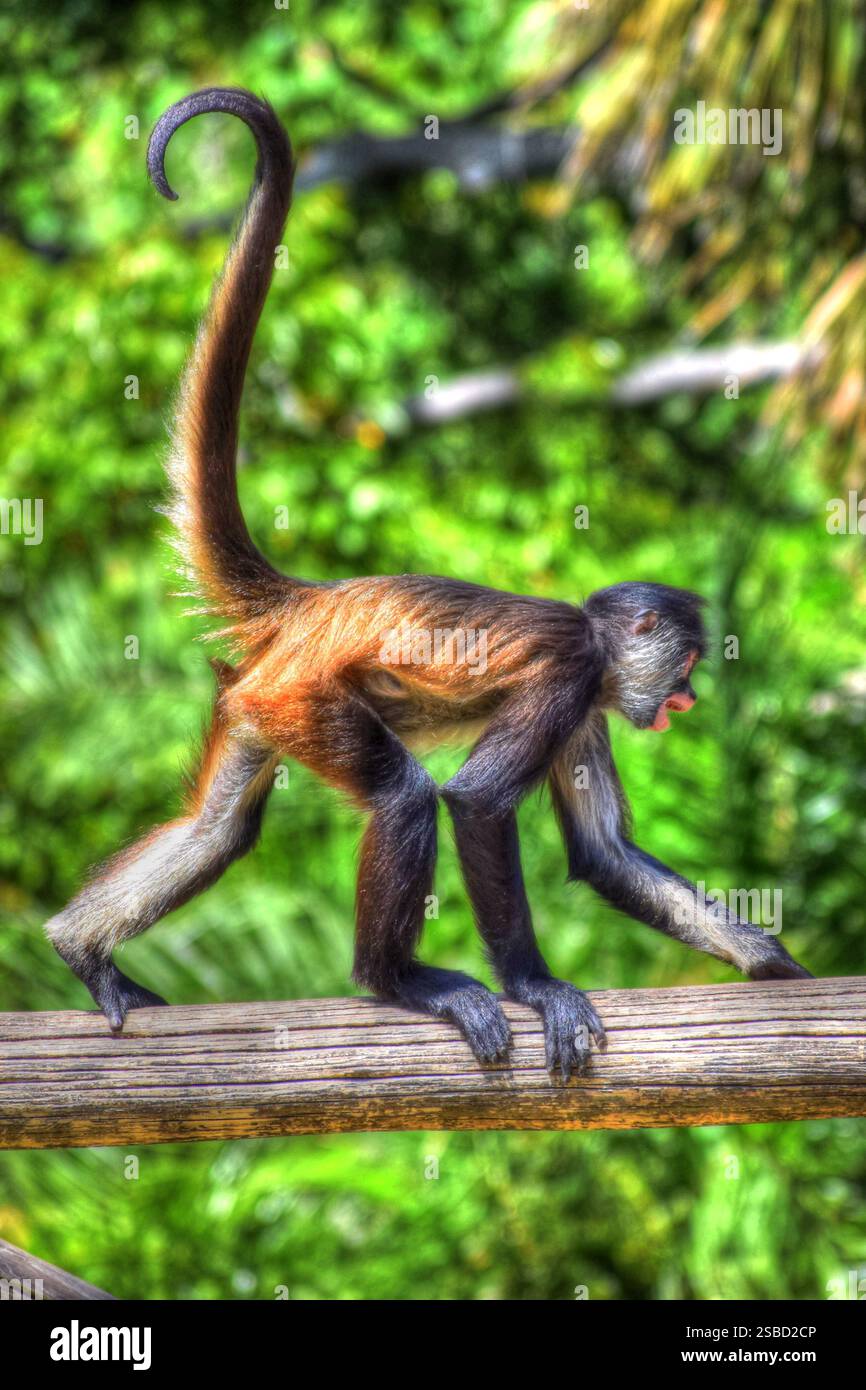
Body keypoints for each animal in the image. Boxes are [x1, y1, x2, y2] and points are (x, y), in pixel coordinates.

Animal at [45, 88, 811, 1079]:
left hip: (261, 695)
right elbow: (476, 804)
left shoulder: (590, 702)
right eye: (683, 671)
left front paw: (775, 963)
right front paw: (535, 986)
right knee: (404, 796)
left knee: (219, 830)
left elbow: (606, 855)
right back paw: (399, 983)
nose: (684, 702)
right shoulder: (571, 673)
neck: (593, 638)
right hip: (306, 693)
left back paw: (81, 949)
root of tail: (316, 601)